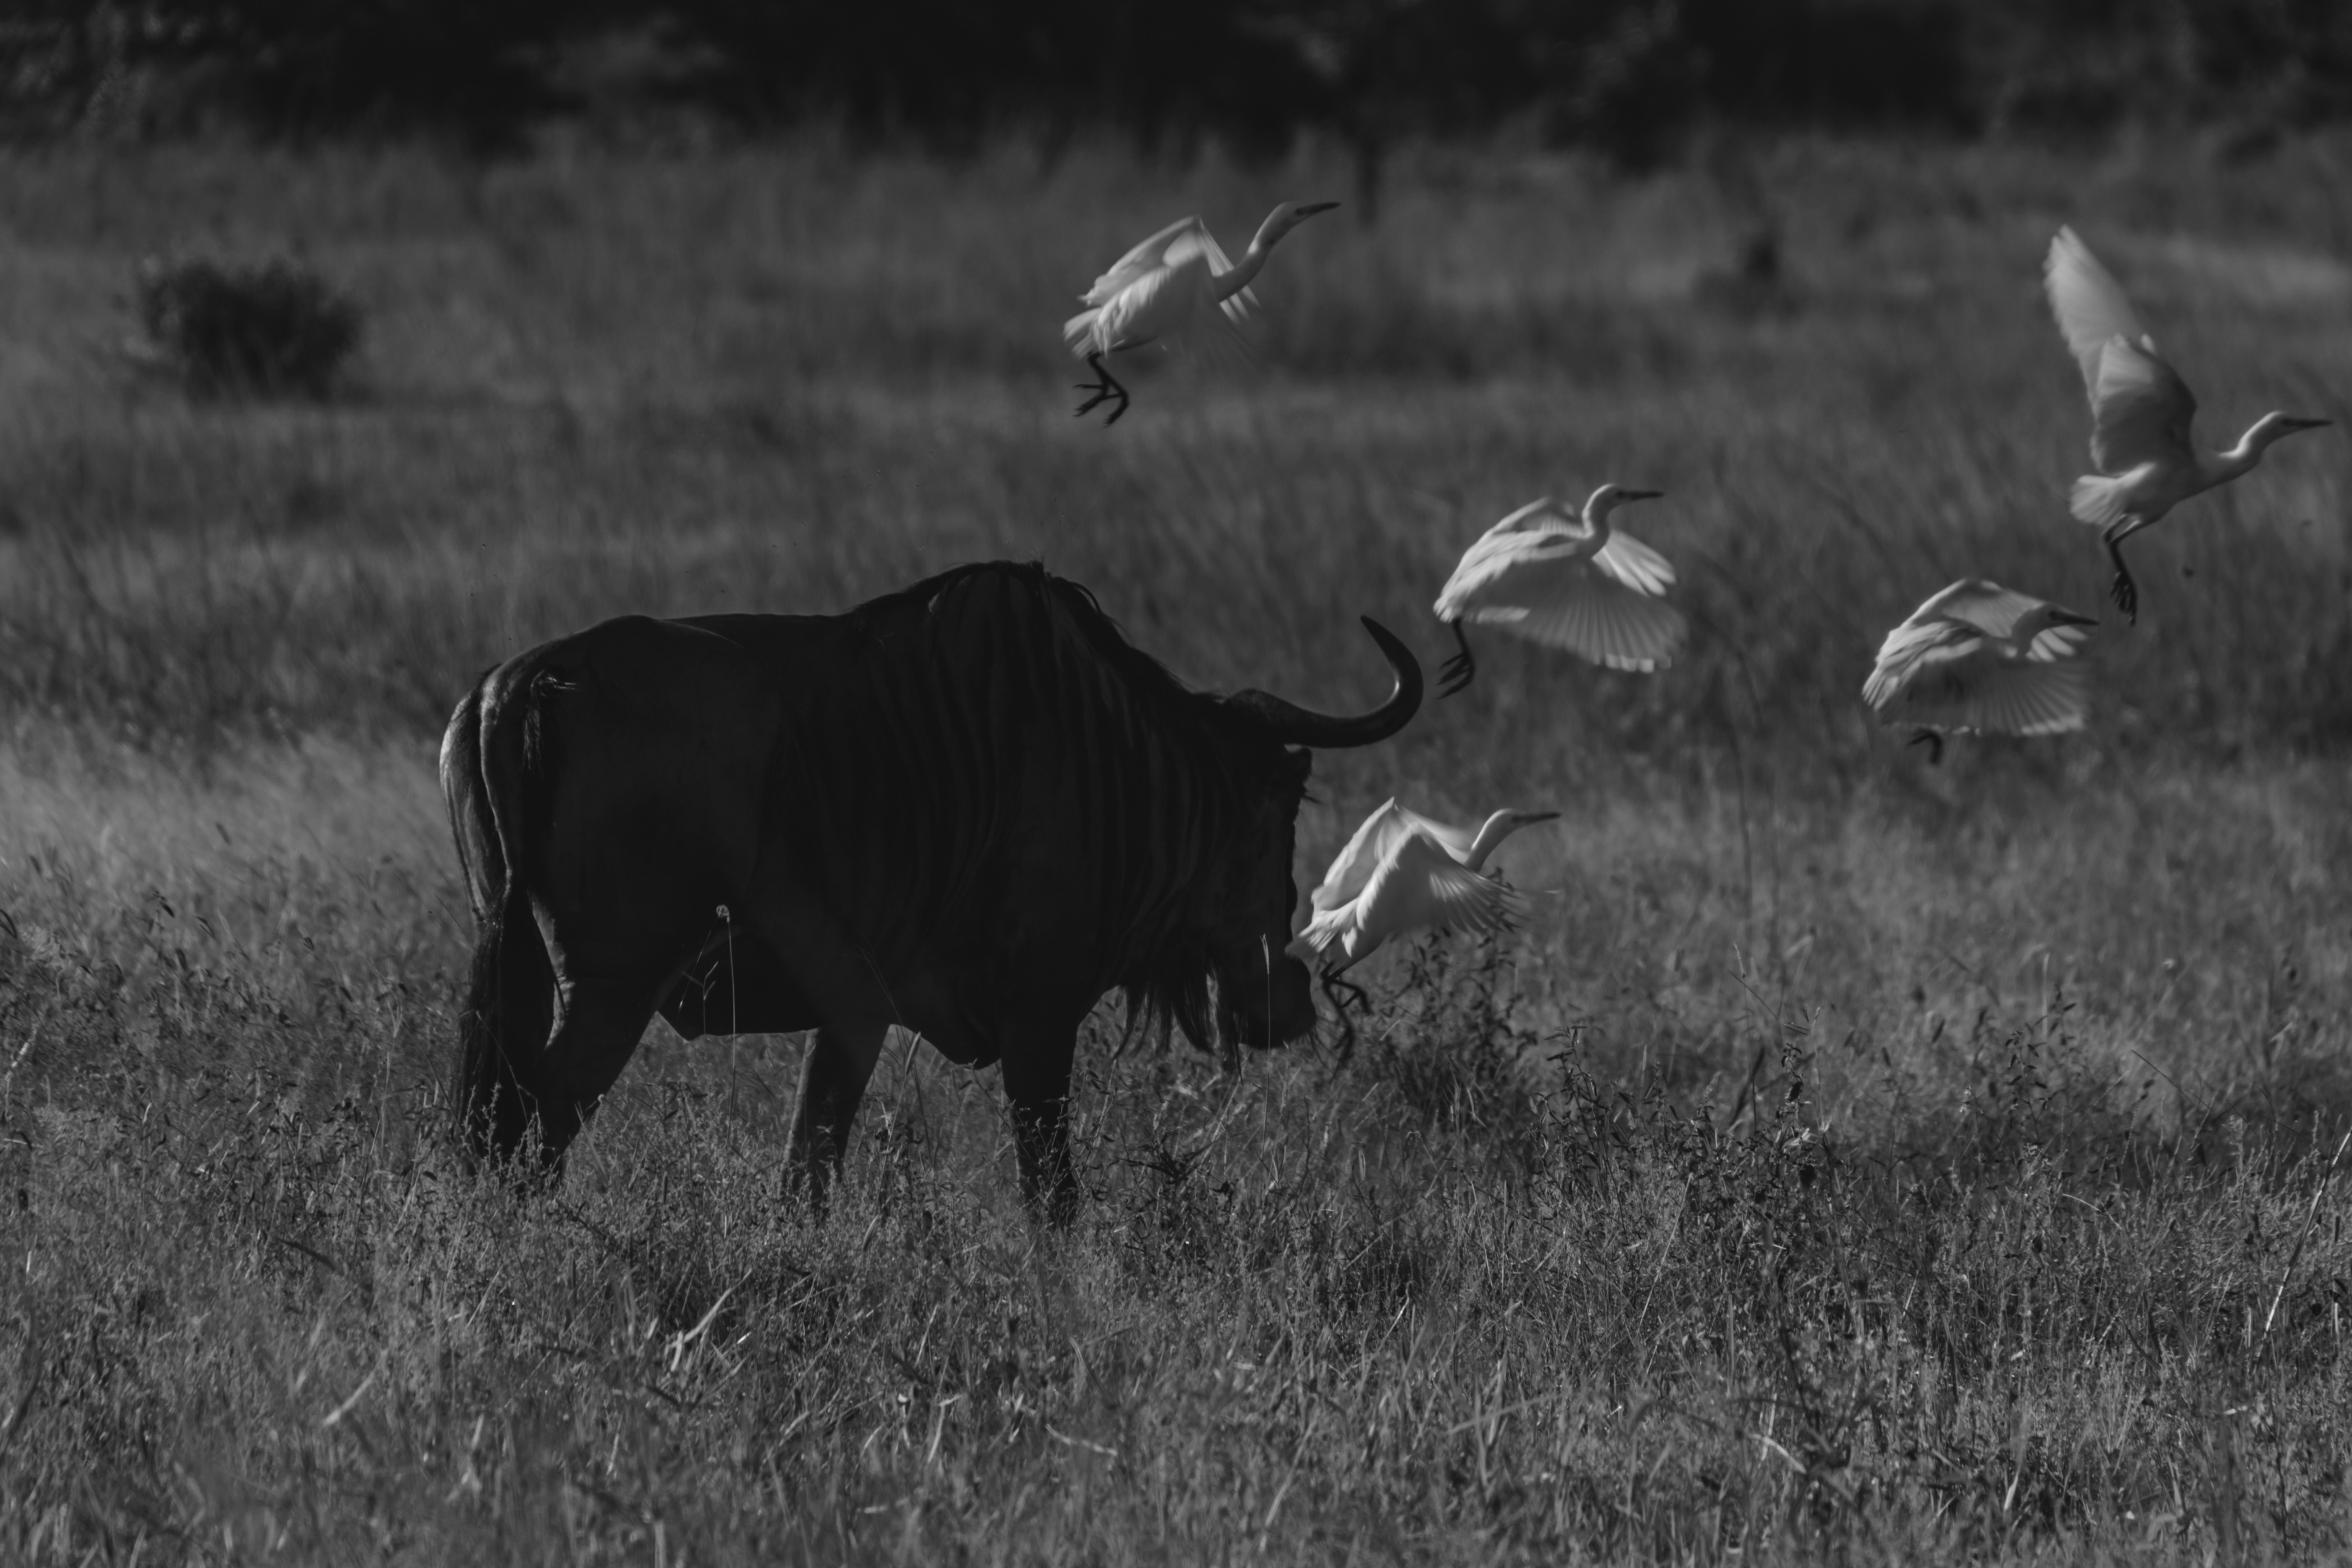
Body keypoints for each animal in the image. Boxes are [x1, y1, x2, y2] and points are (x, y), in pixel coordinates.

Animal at [440, 560, 1421, 1219]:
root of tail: (523, 687)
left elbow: (805, 1177)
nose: (1286, 1003)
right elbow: (1051, 1197)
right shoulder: (1039, 1016)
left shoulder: (853, 1017)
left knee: (487, 1135)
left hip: (519, 968)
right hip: (610, 992)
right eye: (1280, 818)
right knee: (531, 1135)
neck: (1120, 764)